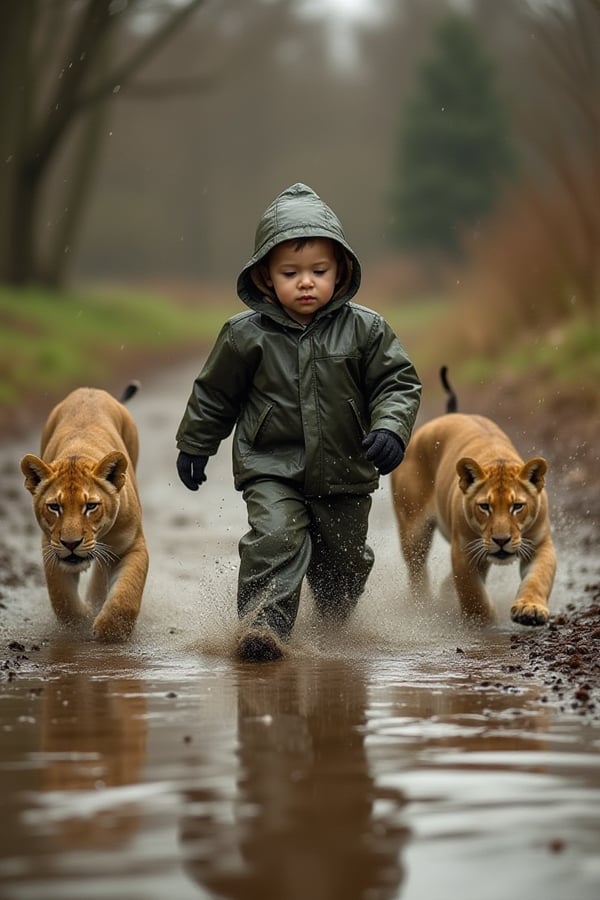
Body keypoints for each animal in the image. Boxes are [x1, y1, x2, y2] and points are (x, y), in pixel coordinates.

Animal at [20, 383, 149, 641]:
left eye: (90, 506)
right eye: (54, 507)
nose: (71, 543)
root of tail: (91, 390)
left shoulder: (133, 545)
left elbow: (127, 592)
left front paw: (111, 631)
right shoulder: (51, 547)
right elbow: (62, 598)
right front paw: (78, 623)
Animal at [391, 369, 556, 626]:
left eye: (517, 506)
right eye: (485, 507)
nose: (501, 540)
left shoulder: (541, 543)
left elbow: (538, 578)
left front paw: (530, 609)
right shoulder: (464, 549)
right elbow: (472, 592)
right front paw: (482, 622)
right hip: (413, 529)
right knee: (417, 571)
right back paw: (423, 605)